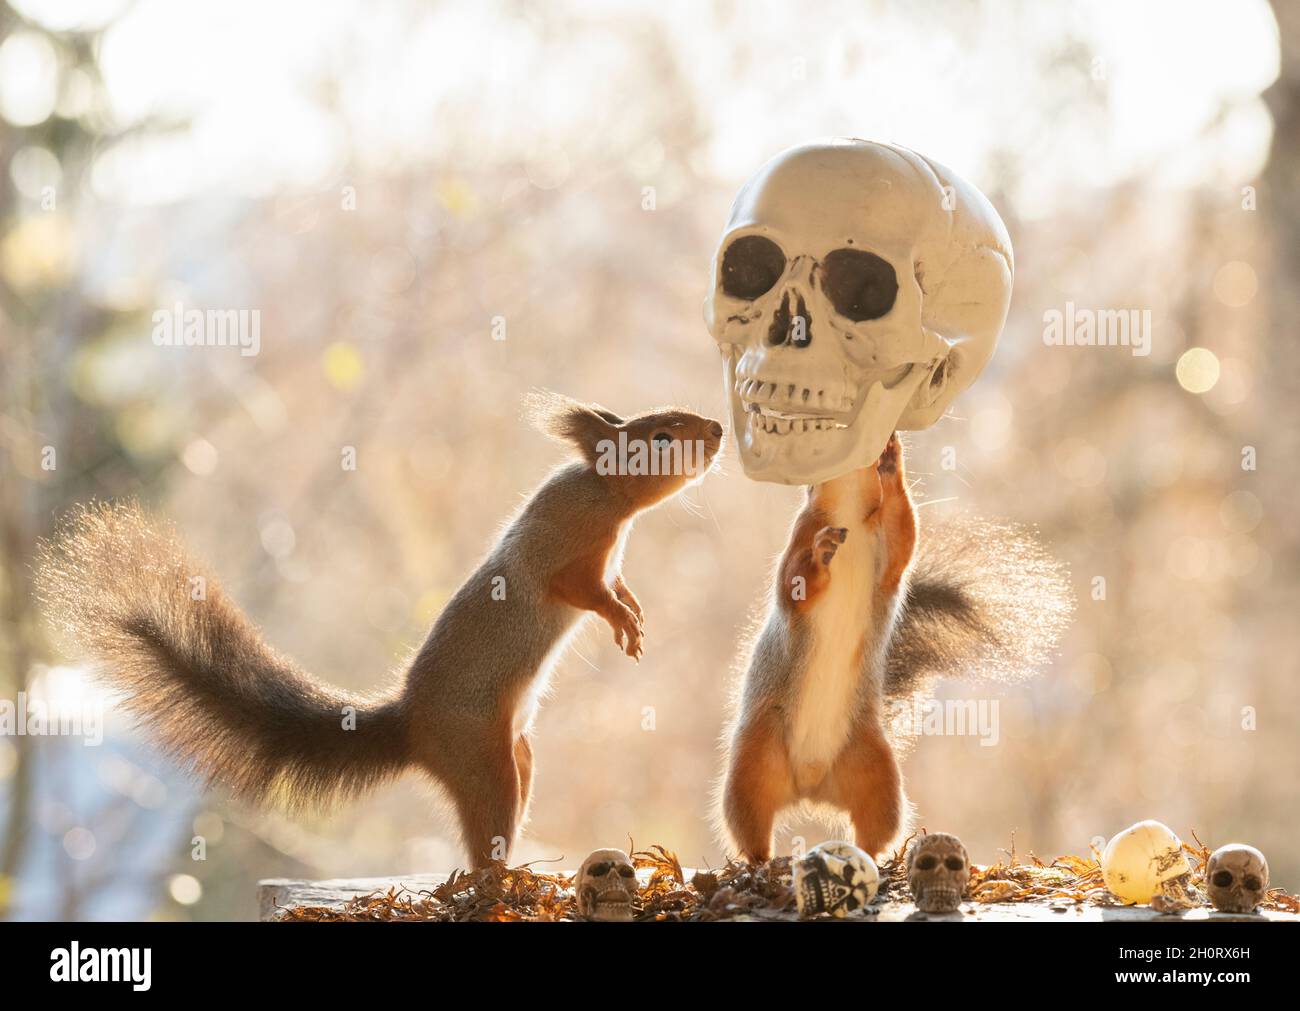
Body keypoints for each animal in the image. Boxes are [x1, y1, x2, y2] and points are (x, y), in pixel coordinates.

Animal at [36, 392, 724, 869]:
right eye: (662, 436)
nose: (717, 430)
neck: (605, 494)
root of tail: (412, 726)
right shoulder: (566, 553)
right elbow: (582, 591)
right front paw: (621, 621)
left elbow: (616, 584)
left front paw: (633, 608)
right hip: (482, 758)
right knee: (487, 842)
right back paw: (505, 886)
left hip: (516, 752)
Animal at [719, 433, 1072, 862]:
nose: (876, 448)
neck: (849, 511)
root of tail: (810, 784)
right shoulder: (800, 536)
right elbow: (794, 583)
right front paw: (820, 555)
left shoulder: (885, 548)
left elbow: (903, 532)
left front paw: (891, 461)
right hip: (754, 764)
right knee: (750, 826)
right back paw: (760, 861)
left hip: (875, 771)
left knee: (874, 827)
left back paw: (868, 857)